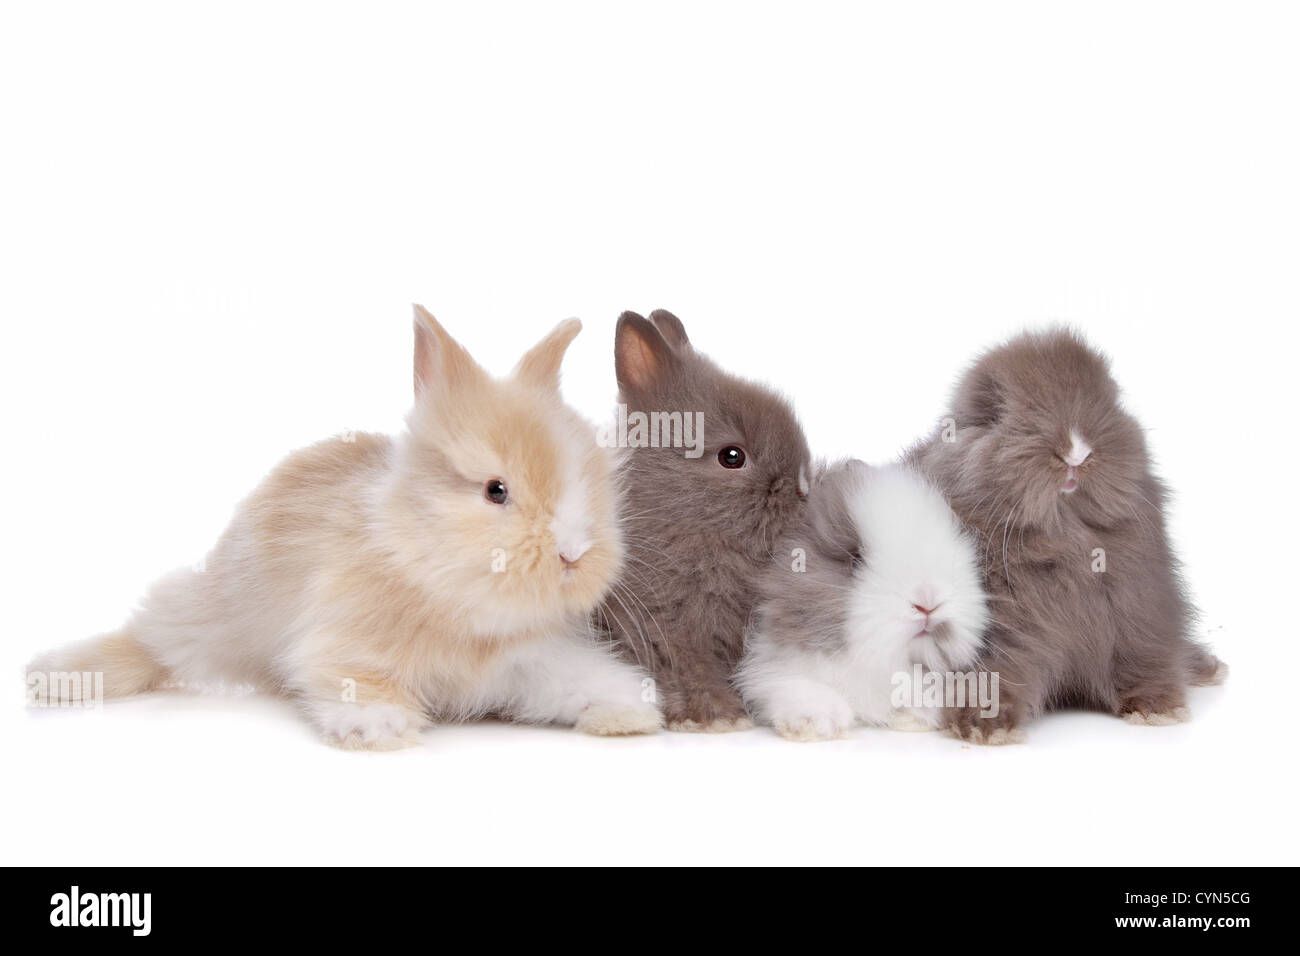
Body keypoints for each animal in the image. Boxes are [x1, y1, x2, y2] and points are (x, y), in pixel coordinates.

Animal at [27, 306, 662, 748]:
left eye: (593, 480)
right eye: (495, 490)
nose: (574, 552)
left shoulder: (534, 660)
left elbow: (581, 681)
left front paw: (630, 714)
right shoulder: (341, 642)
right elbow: (349, 678)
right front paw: (381, 729)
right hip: (212, 612)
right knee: (154, 639)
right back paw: (54, 677)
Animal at [736, 460, 989, 741]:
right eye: (856, 559)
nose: (928, 601)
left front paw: (915, 716)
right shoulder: (768, 665)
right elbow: (788, 685)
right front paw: (817, 723)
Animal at [907, 326, 1226, 744]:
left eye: (1110, 398)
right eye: (997, 413)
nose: (1077, 452)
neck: (1062, 534)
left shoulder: (1138, 612)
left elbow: (1142, 659)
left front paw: (1159, 709)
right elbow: (989, 675)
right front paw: (985, 727)